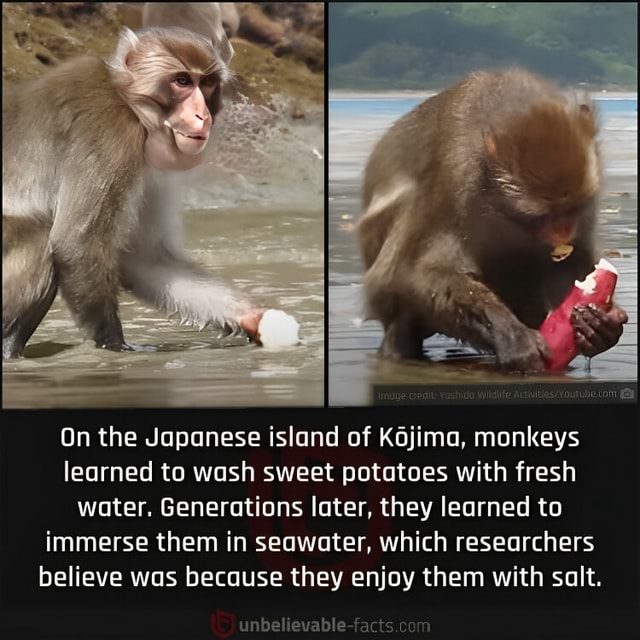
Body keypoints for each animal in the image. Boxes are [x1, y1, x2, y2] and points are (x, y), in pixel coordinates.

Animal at [2, 26, 298, 359]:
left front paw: (254, 317)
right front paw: (116, 348)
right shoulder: (114, 132)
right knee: (37, 241)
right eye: (182, 81)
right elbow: (77, 244)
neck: (128, 101)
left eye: (208, 83)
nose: (203, 116)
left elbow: (143, 258)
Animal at [358, 69, 628, 373]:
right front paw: (511, 336)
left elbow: (575, 261)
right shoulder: (454, 177)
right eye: (542, 216)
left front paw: (597, 327)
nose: (563, 233)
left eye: (573, 209)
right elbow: (423, 273)